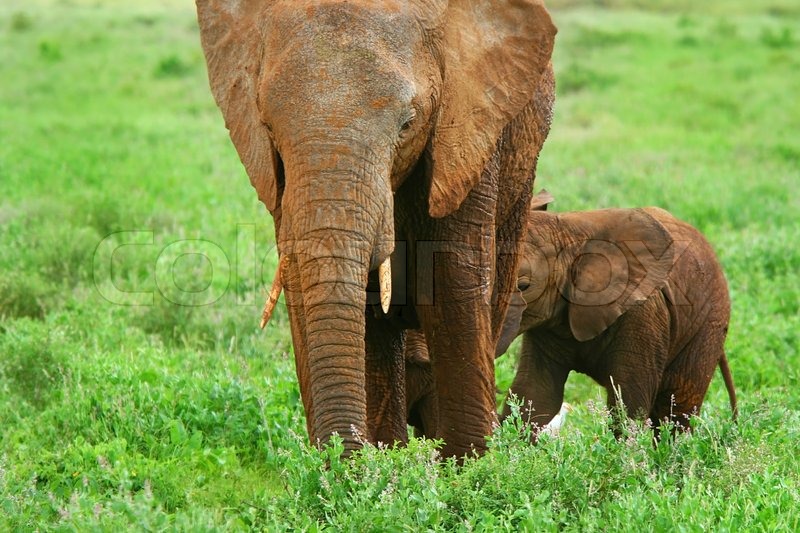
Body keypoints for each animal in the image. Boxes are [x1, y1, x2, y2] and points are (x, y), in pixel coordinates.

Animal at [196, 0, 557, 457]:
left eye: (408, 123)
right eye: (269, 127)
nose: (341, 456)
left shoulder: (466, 140)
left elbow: (452, 285)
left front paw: (472, 467)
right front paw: (372, 469)